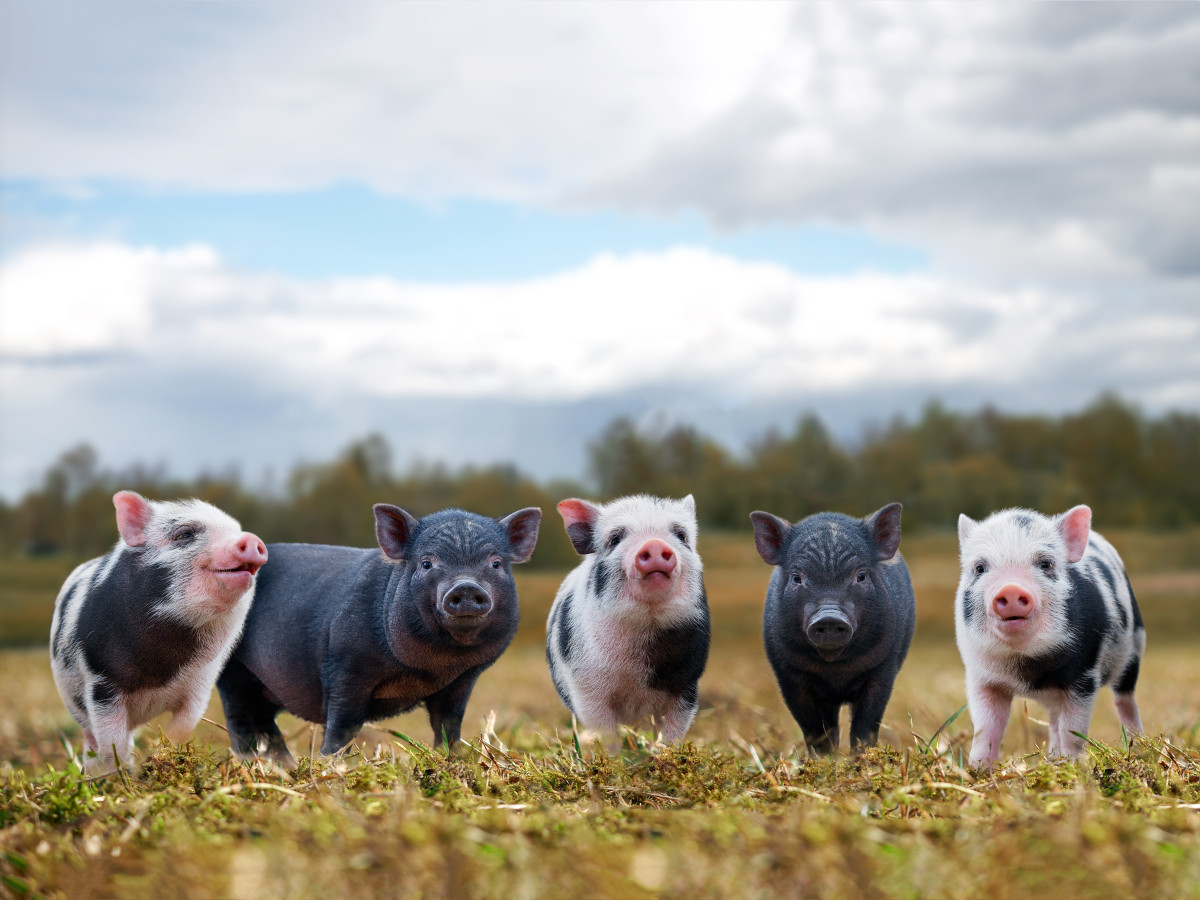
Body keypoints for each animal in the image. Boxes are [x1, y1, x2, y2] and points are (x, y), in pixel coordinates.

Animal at [49, 491, 268, 773]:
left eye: (236, 529)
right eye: (185, 534)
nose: (251, 539)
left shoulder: (201, 681)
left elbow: (184, 726)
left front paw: (163, 758)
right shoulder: (100, 678)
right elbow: (111, 739)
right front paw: (116, 772)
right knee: (94, 734)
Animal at [217, 504, 541, 765]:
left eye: (495, 563)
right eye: (427, 563)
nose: (466, 586)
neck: (435, 667)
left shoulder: (461, 681)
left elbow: (449, 724)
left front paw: (451, 761)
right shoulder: (346, 666)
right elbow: (343, 724)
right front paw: (331, 767)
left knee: (263, 722)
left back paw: (284, 766)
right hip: (232, 671)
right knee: (240, 721)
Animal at [545, 494, 710, 743]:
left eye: (681, 535)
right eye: (615, 538)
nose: (654, 543)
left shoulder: (687, 684)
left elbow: (674, 729)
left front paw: (666, 752)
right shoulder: (585, 686)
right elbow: (605, 731)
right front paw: (611, 753)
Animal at [750, 503, 914, 754]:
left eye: (861, 576)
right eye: (797, 577)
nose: (829, 616)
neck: (836, 672)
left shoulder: (884, 669)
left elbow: (865, 726)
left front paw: (864, 759)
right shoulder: (789, 676)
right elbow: (814, 729)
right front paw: (824, 760)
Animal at [955, 505, 1144, 767]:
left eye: (1045, 563)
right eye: (979, 568)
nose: (1011, 588)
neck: (1027, 672)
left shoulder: (1085, 675)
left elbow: (1073, 730)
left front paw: (1074, 767)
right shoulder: (981, 678)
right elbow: (986, 729)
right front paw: (978, 770)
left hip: (1133, 649)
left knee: (1125, 700)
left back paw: (1140, 748)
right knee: (1055, 721)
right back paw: (1053, 758)